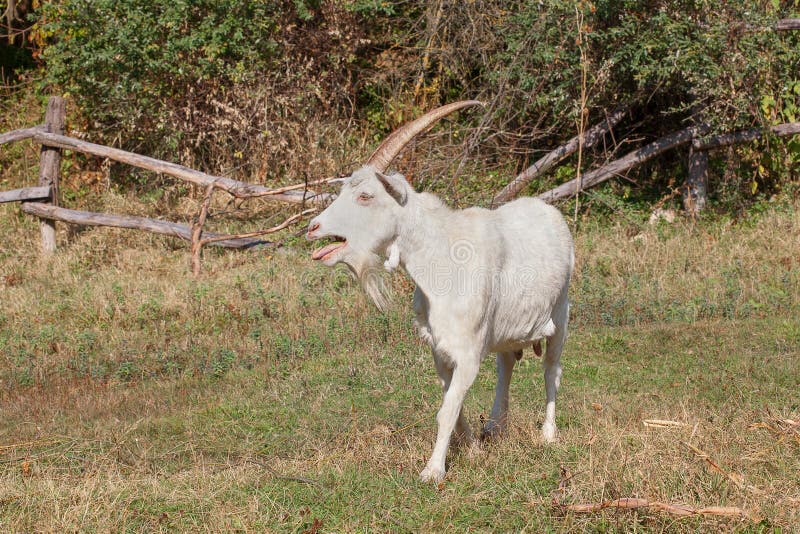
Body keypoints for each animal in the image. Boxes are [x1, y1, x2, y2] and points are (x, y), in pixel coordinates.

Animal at [307, 101, 574, 482]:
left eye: (365, 195)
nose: (313, 227)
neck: (441, 261)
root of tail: (549, 210)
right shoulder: (439, 350)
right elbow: (453, 405)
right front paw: (474, 449)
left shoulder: (469, 352)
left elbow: (447, 410)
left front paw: (433, 472)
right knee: (506, 364)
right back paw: (495, 427)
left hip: (561, 313)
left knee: (552, 370)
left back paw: (548, 434)